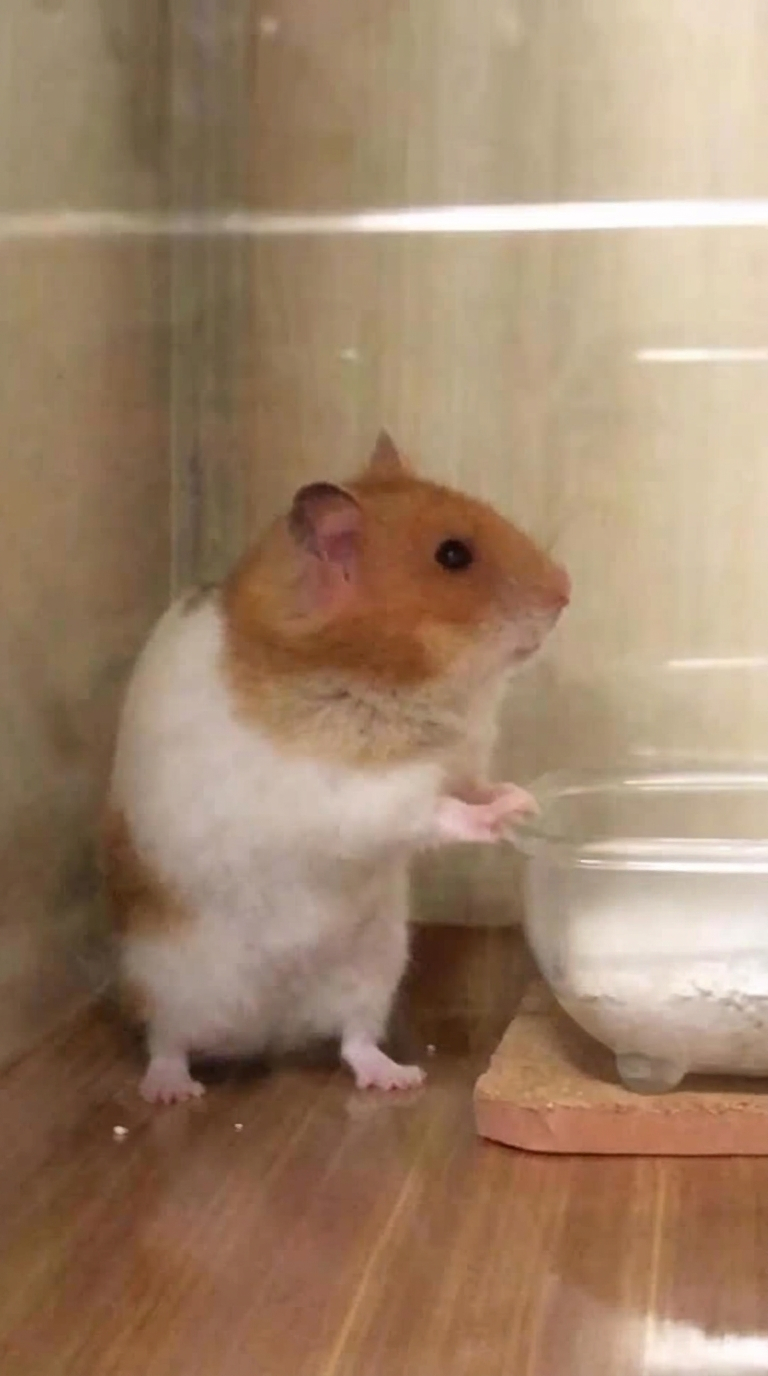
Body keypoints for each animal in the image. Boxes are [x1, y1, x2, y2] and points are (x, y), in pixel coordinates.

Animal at [103, 433, 570, 1103]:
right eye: (453, 555)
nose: (567, 590)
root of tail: (265, 1034)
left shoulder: (456, 764)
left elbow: (474, 785)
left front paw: (524, 798)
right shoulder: (361, 797)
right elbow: (439, 811)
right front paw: (506, 815)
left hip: (374, 966)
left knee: (354, 1041)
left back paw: (397, 1077)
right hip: (163, 977)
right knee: (169, 1040)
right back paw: (172, 1091)